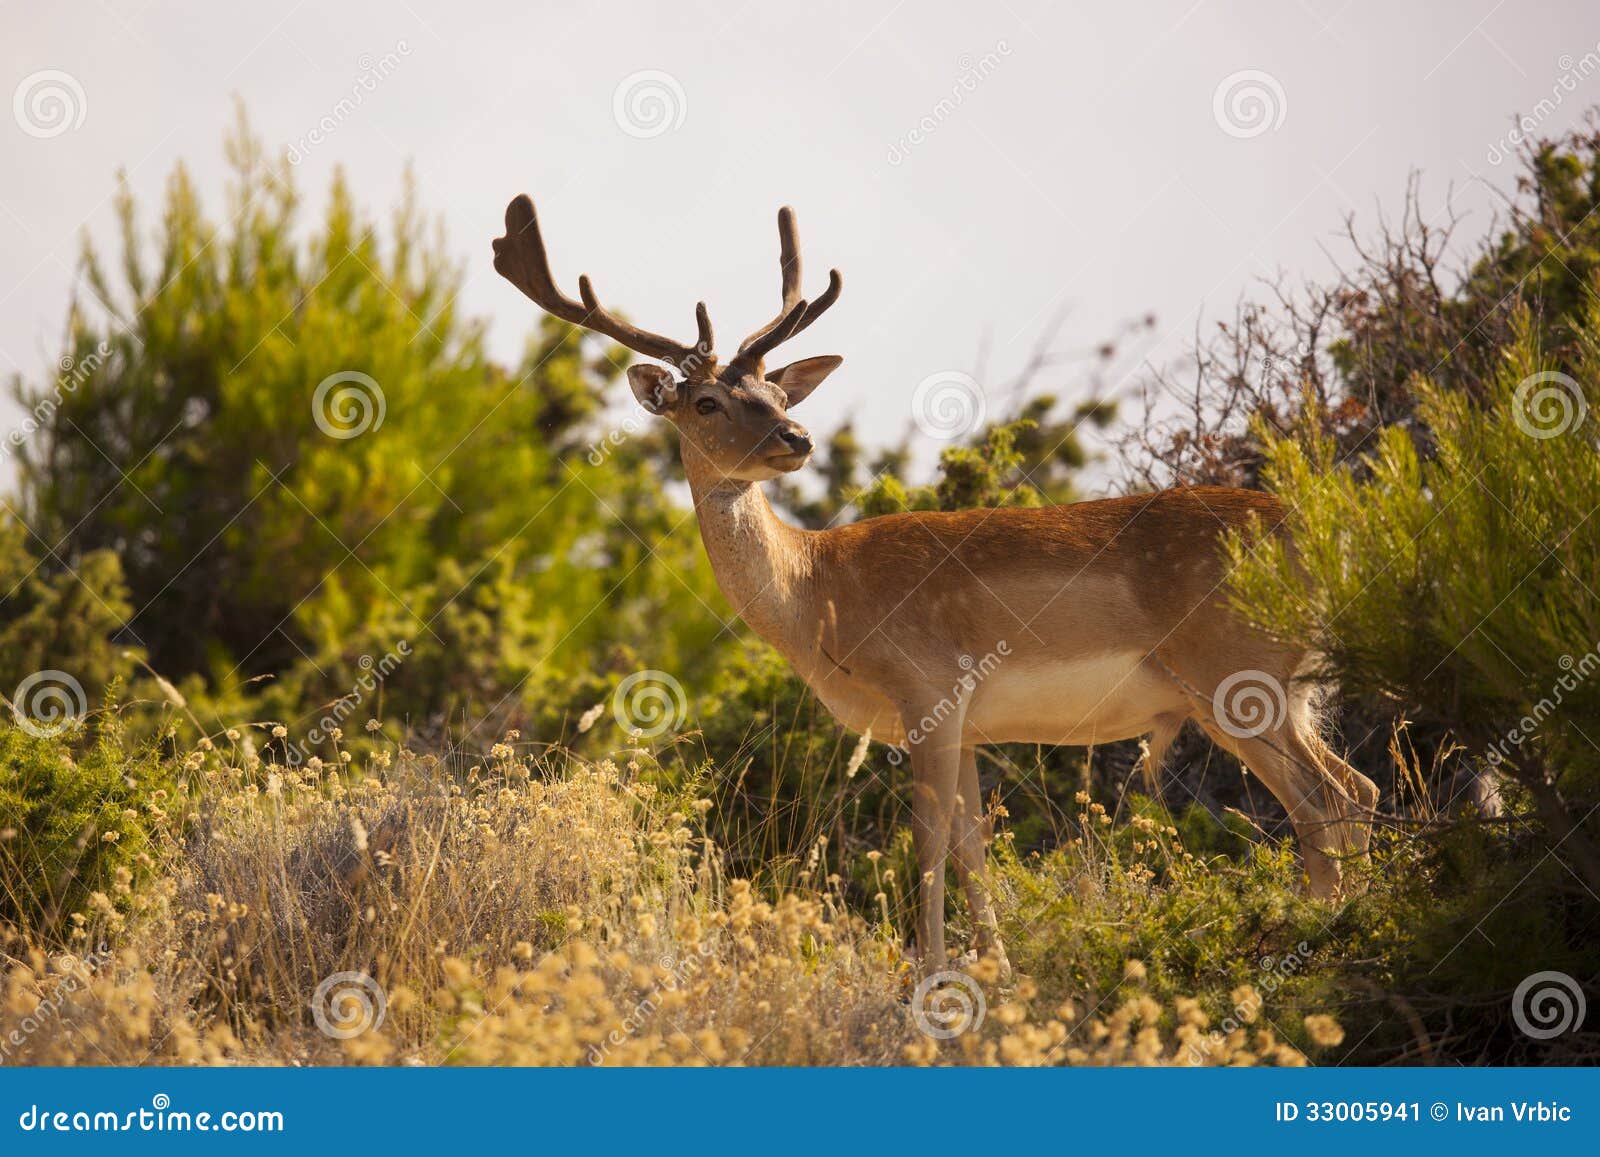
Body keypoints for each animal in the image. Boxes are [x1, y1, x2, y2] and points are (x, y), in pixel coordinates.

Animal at [492, 194, 1379, 979]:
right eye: (707, 400)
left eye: (774, 390)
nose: (795, 436)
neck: (819, 594)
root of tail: (1317, 528)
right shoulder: (969, 726)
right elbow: (972, 846)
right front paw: (997, 968)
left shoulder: (929, 690)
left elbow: (925, 846)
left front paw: (931, 974)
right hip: (1279, 686)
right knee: (1353, 790)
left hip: (1237, 673)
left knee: (1330, 798)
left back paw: (1324, 933)